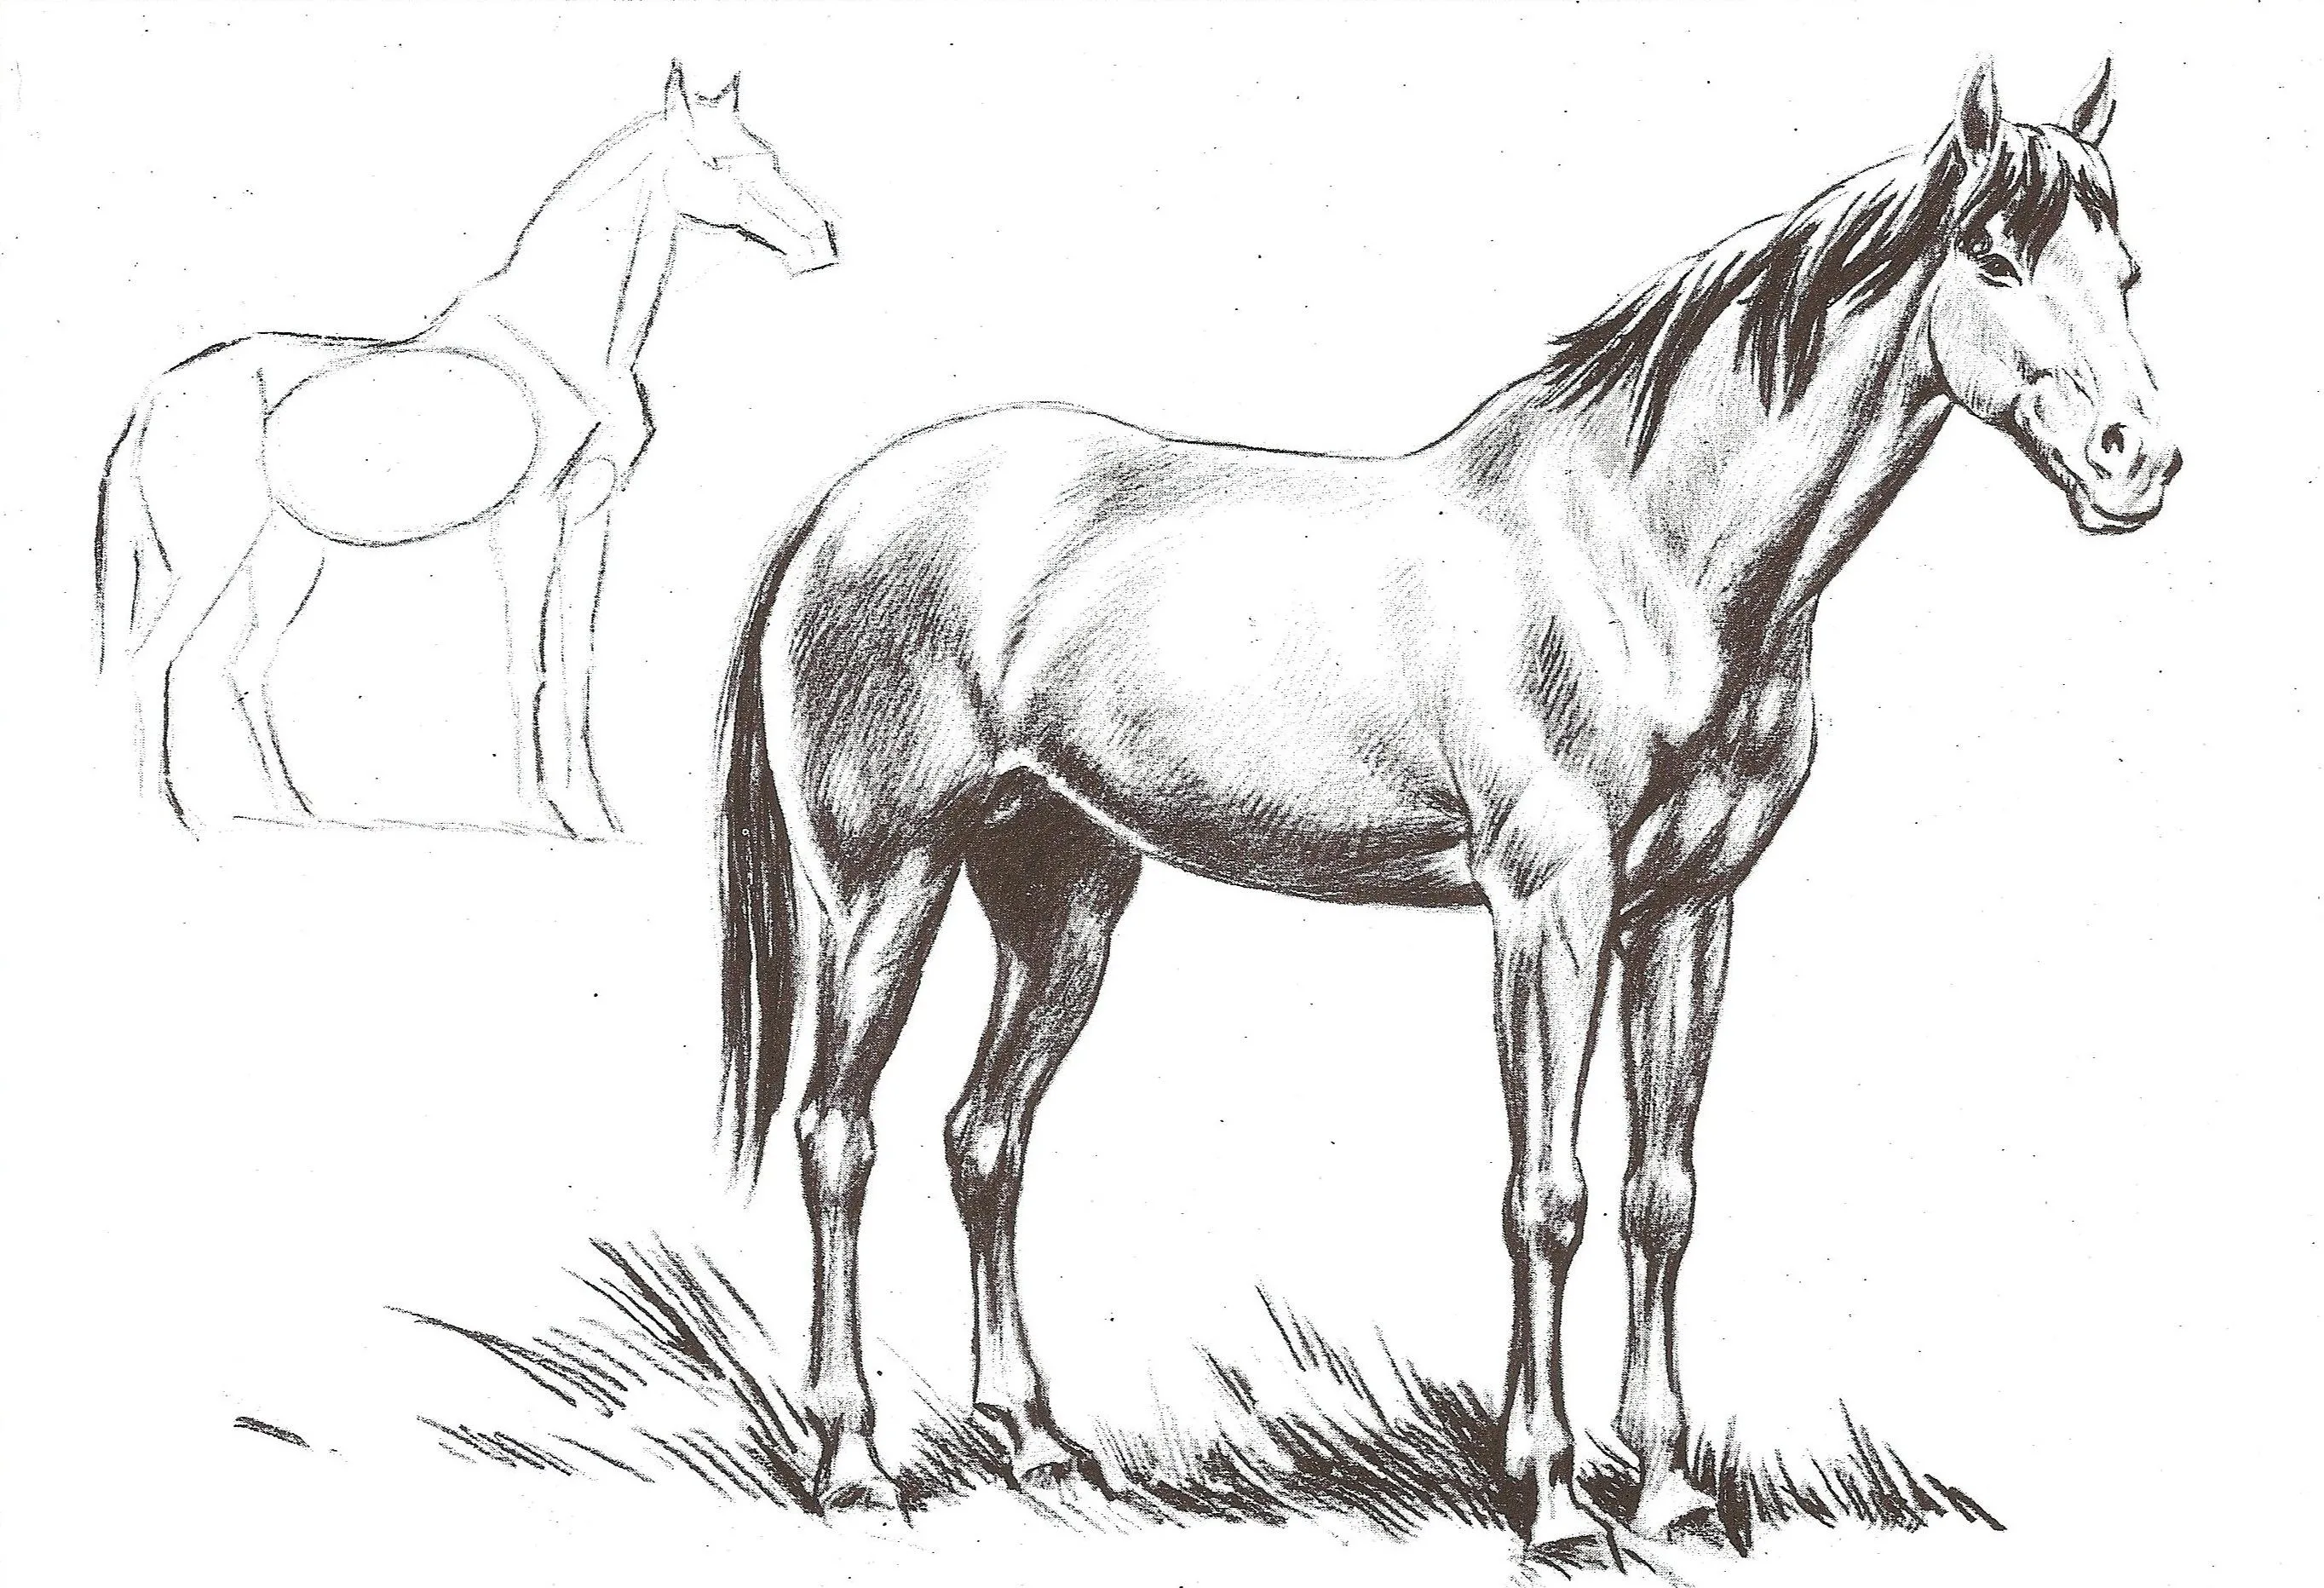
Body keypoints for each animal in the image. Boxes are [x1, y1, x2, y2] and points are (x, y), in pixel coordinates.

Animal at [95, 64, 836, 837]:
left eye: (769, 157)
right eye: (722, 162)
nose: (820, 242)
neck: (565, 340)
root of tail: (153, 401)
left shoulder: (590, 519)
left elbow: (577, 666)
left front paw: (598, 816)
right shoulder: (527, 523)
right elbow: (530, 665)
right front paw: (542, 813)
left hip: (285, 557)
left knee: (240, 667)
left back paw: (297, 811)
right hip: (212, 559)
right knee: (150, 660)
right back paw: (165, 814)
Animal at [714, 60, 2175, 1549]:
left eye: (2124, 271)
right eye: (1992, 257)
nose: (2137, 460)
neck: (1641, 559)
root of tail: (837, 513)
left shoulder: (1690, 914)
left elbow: (1660, 1196)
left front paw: (1668, 1490)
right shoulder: (1549, 911)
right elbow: (1548, 1196)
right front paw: (1554, 1497)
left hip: (1060, 902)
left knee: (985, 1140)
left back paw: (1043, 1447)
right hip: (884, 891)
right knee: (836, 1138)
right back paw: (854, 1462)